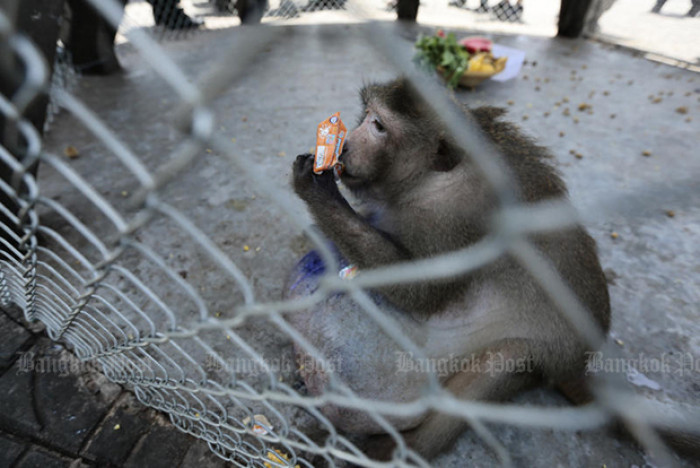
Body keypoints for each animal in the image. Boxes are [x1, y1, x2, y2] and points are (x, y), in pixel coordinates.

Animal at [284, 77, 611, 462]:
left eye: (379, 127)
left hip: (548, 355)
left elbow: (423, 294)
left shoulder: (454, 215)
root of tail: (579, 364)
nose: (345, 144)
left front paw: (318, 192)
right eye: (367, 116)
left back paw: (408, 448)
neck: (427, 178)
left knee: (506, 358)